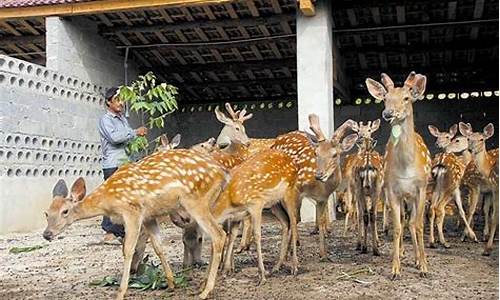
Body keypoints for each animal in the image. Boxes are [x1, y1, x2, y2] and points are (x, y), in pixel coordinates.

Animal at [43, 148, 229, 300]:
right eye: (46, 213)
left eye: (65, 211)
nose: (46, 234)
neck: (108, 201)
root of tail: (222, 173)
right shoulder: (149, 216)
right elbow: (158, 247)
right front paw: (171, 283)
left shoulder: (132, 211)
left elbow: (128, 249)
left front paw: (121, 292)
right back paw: (203, 283)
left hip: (195, 200)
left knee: (218, 234)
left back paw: (206, 291)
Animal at [366, 71, 432, 278]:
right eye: (385, 99)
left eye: (406, 98)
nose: (388, 114)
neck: (406, 168)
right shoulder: (392, 191)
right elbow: (396, 227)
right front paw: (395, 269)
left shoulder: (421, 188)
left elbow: (418, 225)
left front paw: (424, 266)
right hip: (402, 195)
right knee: (404, 221)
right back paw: (403, 253)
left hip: (413, 195)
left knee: (412, 222)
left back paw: (417, 259)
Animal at [458, 122, 498, 255]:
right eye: (468, 138)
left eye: (482, 139)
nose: (470, 149)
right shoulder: (488, 190)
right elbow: (484, 210)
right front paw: (484, 235)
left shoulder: (477, 186)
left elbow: (473, 210)